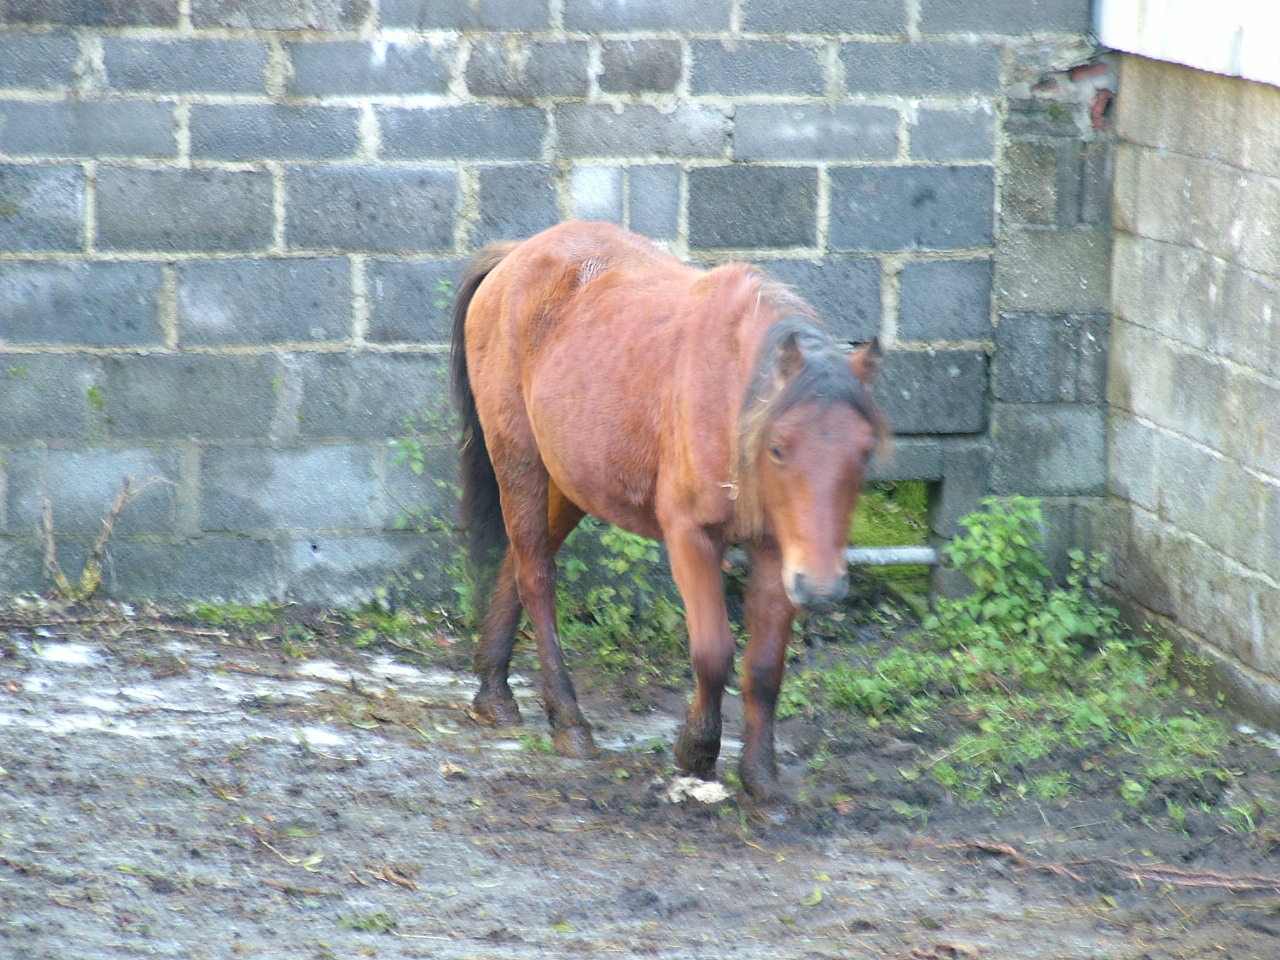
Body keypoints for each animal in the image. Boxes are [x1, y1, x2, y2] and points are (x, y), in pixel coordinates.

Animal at [450, 221, 887, 811]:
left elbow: (765, 669)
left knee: (518, 564)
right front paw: (697, 750)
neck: (733, 396)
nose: (821, 587)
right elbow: (713, 652)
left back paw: (493, 693)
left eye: (864, 452)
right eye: (778, 448)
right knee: (537, 576)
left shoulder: (778, 550)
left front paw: (762, 781)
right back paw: (569, 722)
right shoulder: (690, 537)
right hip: (518, 457)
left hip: (571, 479)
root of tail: (514, 256)